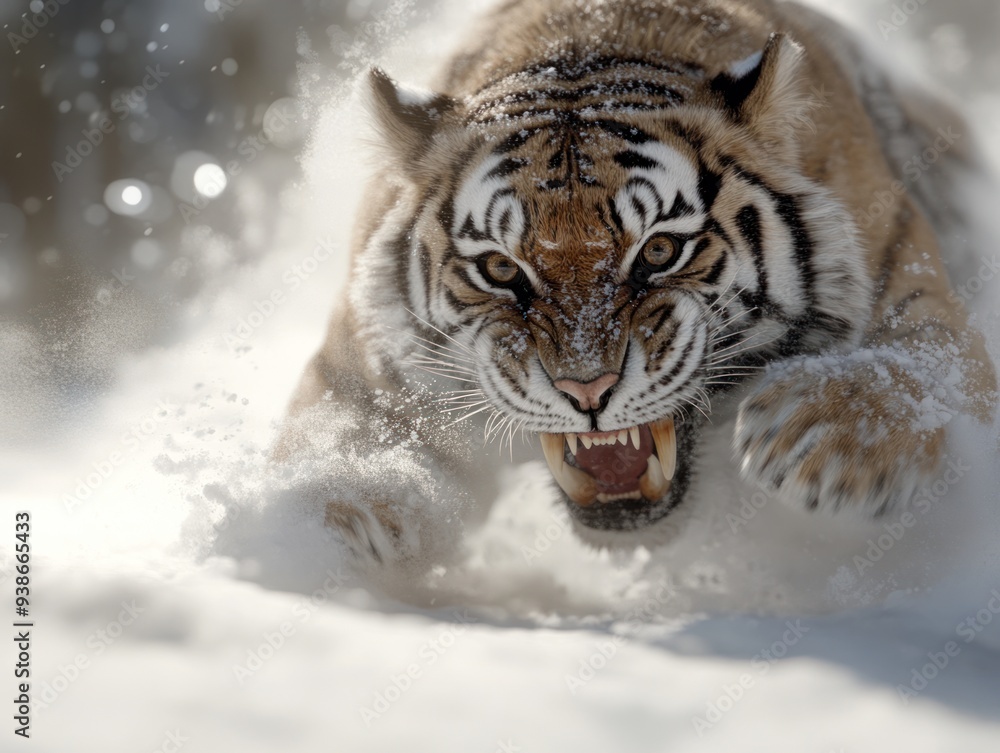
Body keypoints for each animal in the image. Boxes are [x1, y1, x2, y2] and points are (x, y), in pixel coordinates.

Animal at [276, 0, 997, 568]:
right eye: (502, 269)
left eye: (659, 250)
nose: (586, 391)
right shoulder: (368, 368)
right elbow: (345, 437)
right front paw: (315, 531)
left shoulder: (913, 286)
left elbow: (917, 363)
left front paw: (827, 438)